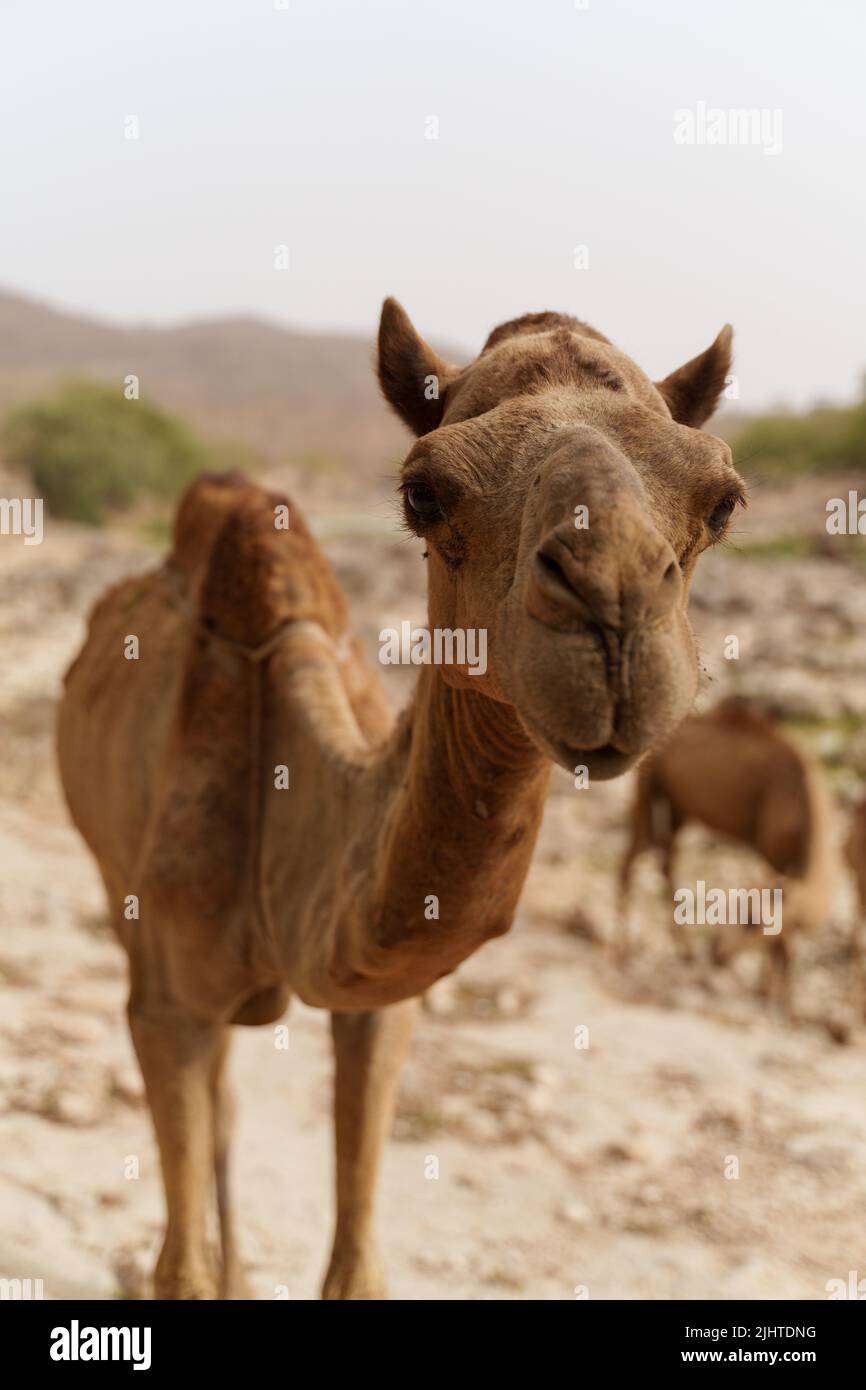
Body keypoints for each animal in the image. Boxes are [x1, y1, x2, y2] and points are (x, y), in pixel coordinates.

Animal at [57, 298, 745, 1299]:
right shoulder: (165, 1004)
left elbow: (357, 1264)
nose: (612, 610)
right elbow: (176, 1262)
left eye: (722, 501)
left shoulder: (381, 1006)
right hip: (120, 894)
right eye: (424, 493)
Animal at [618, 699, 834, 1011]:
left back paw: (684, 950)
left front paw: (780, 998)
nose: (715, 950)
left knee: (664, 860)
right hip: (649, 787)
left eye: (753, 920)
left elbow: (784, 942)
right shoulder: (770, 852)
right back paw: (623, 950)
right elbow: (782, 946)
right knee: (632, 859)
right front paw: (768, 993)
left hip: (677, 806)